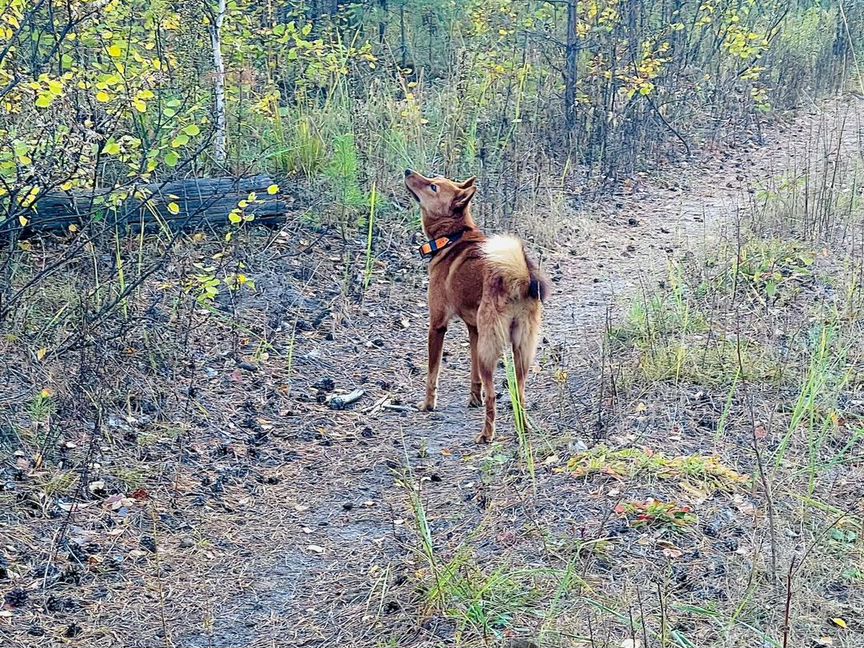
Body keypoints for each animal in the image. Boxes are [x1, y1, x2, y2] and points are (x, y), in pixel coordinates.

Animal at [404, 170, 548, 442]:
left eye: (433, 187)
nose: (408, 171)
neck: (452, 237)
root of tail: (519, 279)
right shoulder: (474, 331)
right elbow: (473, 375)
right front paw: (473, 399)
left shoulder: (437, 325)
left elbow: (432, 373)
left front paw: (428, 405)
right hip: (519, 350)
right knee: (520, 393)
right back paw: (523, 429)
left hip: (490, 350)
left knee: (493, 395)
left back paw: (486, 435)